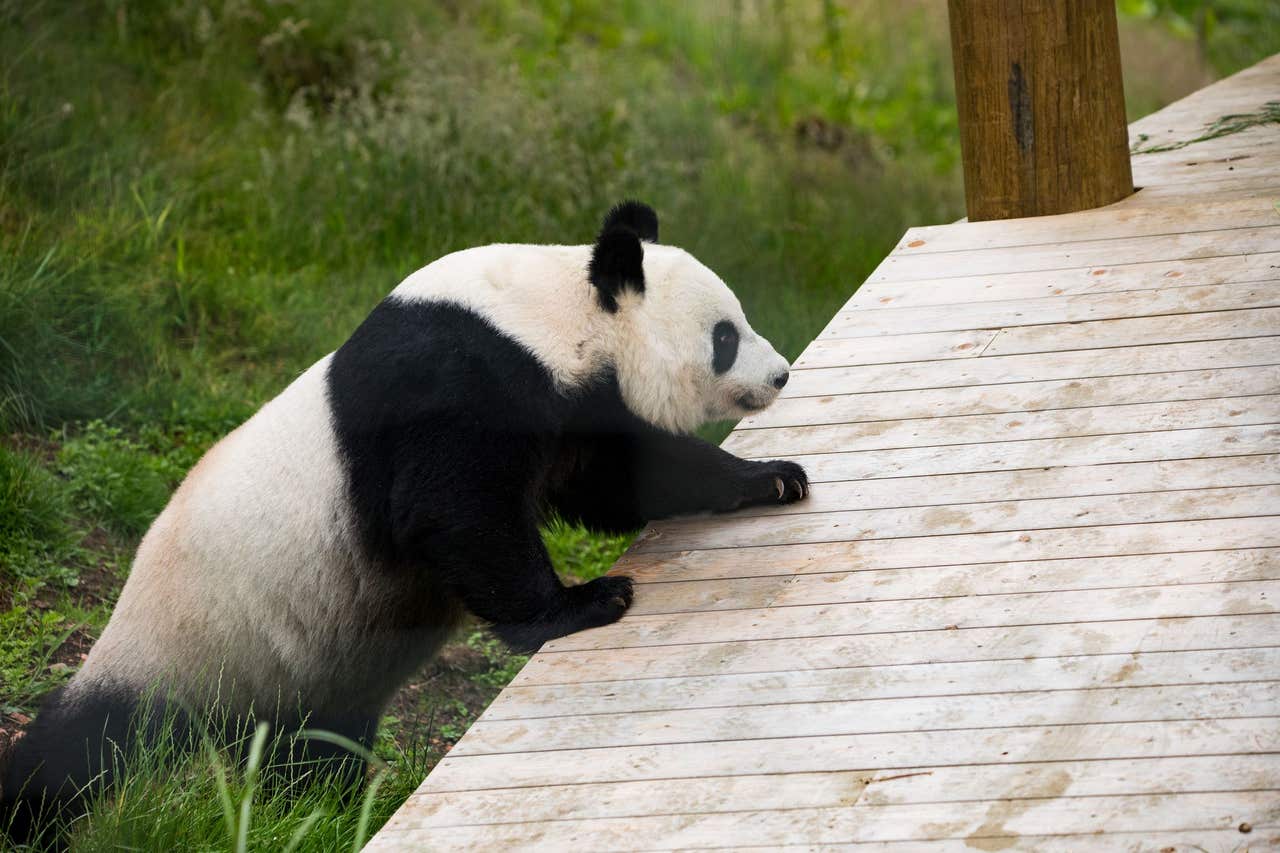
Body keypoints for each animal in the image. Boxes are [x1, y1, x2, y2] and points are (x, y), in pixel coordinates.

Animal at [1, 201, 808, 835]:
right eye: (725, 335)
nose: (779, 375)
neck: (549, 312)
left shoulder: (570, 402)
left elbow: (617, 477)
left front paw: (771, 477)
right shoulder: (456, 377)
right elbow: (455, 511)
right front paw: (584, 602)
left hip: (300, 672)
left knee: (313, 747)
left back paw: (316, 813)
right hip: (192, 641)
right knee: (87, 744)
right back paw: (35, 818)